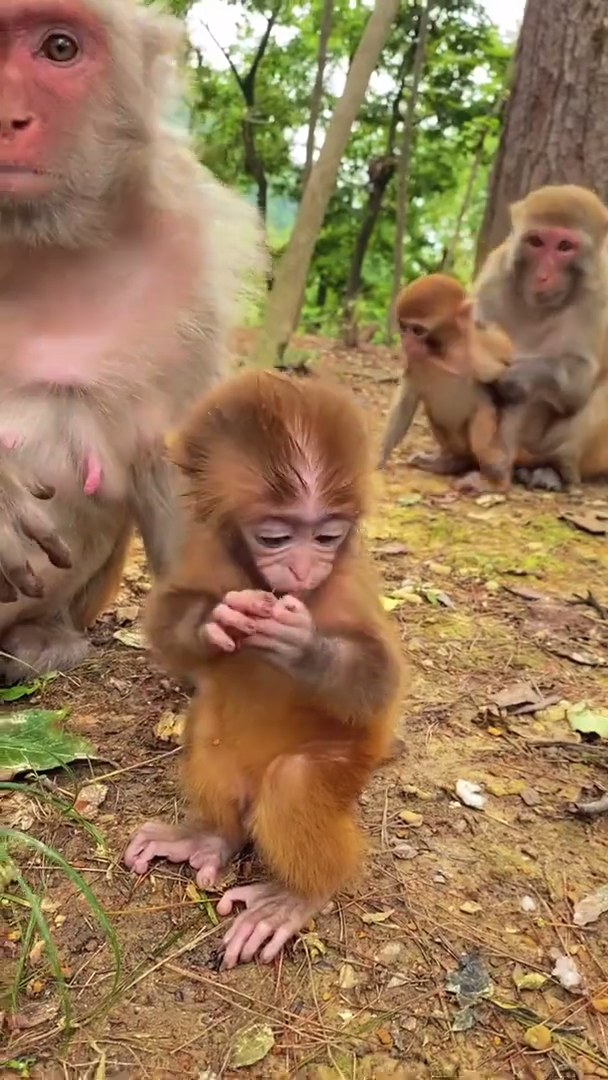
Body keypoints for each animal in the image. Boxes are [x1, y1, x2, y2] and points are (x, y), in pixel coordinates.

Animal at [124, 370, 403, 970]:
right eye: (276, 536)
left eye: (326, 536)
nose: (301, 568)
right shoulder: (207, 548)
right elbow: (168, 616)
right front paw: (215, 620)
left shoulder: (347, 585)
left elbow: (377, 683)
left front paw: (304, 647)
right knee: (209, 739)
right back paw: (211, 838)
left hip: (350, 769)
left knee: (295, 781)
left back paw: (295, 897)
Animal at [378, 274, 519, 493]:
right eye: (404, 327)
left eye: (417, 330)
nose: (406, 343)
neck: (447, 354)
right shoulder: (416, 361)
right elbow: (407, 400)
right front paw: (380, 456)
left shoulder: (491, 346)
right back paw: (449, 462)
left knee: (482, 424)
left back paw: (495, 481)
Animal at [473, 184, 608, 491]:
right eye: (535, 242)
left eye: (564, 247)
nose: (543, 276)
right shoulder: (497, 270)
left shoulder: (601, 293)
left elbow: (579, 378)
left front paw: (513, 378)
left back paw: (553, 469)